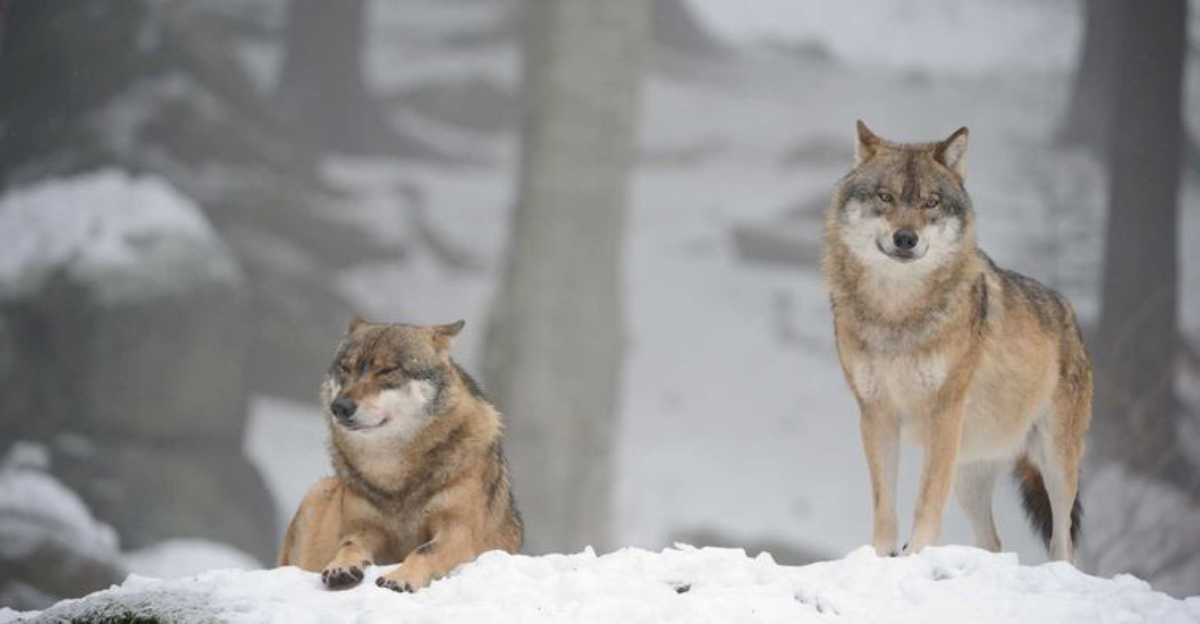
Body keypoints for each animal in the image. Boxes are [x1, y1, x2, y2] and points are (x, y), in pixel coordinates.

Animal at [278, 317, 523, 591]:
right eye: (346, 368)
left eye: (387, 370)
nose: (340, 407)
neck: (391, 471)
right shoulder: (363, 530)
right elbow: (348, 547)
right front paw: (341, 568)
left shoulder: (458, 531)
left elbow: (423, 551)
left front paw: (399, 578)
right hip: (316, 492)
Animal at [822, 121, 1092, 562]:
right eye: (885, 196)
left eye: (931, 202)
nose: (906, 238)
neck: (897, 313)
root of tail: (1068, 311)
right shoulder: (876, 414)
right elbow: (884, 501)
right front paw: (882, 555)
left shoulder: (944, 411)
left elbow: (927, 495)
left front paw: (915, 552)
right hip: (969, 473)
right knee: (994, 543)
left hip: (1055, 462)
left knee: (1062, 539)